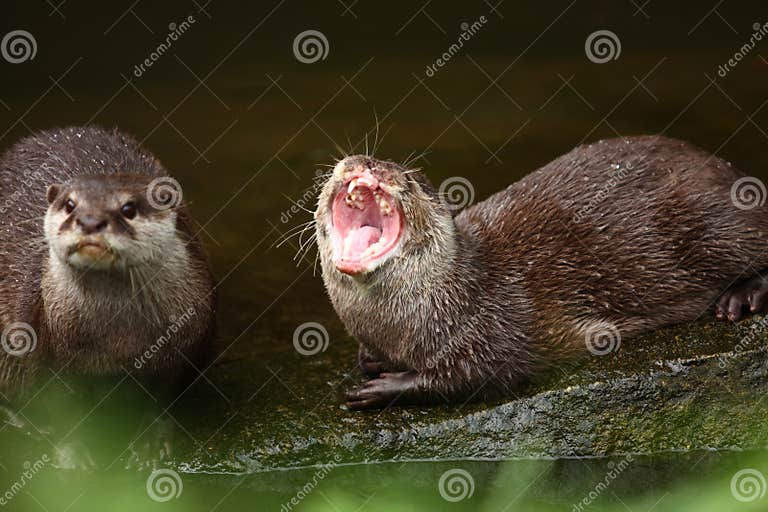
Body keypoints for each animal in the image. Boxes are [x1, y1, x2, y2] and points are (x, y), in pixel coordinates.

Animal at [0, 126, 216, 466]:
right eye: (70, 204)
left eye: (128, 209)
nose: (90, 221)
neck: (118, 340)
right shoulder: (43, 343)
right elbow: (58, 404)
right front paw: (72, 451)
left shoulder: (187, 343)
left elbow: (164, 397)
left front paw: (152, 440)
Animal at [315, 136, 768, 410]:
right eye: (347, 160)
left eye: (410, 178)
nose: (367, 163)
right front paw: (369, 360)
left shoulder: (493, 324)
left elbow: (478, 375)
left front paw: (383, 388)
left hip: (721, 222)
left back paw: (740, 297)